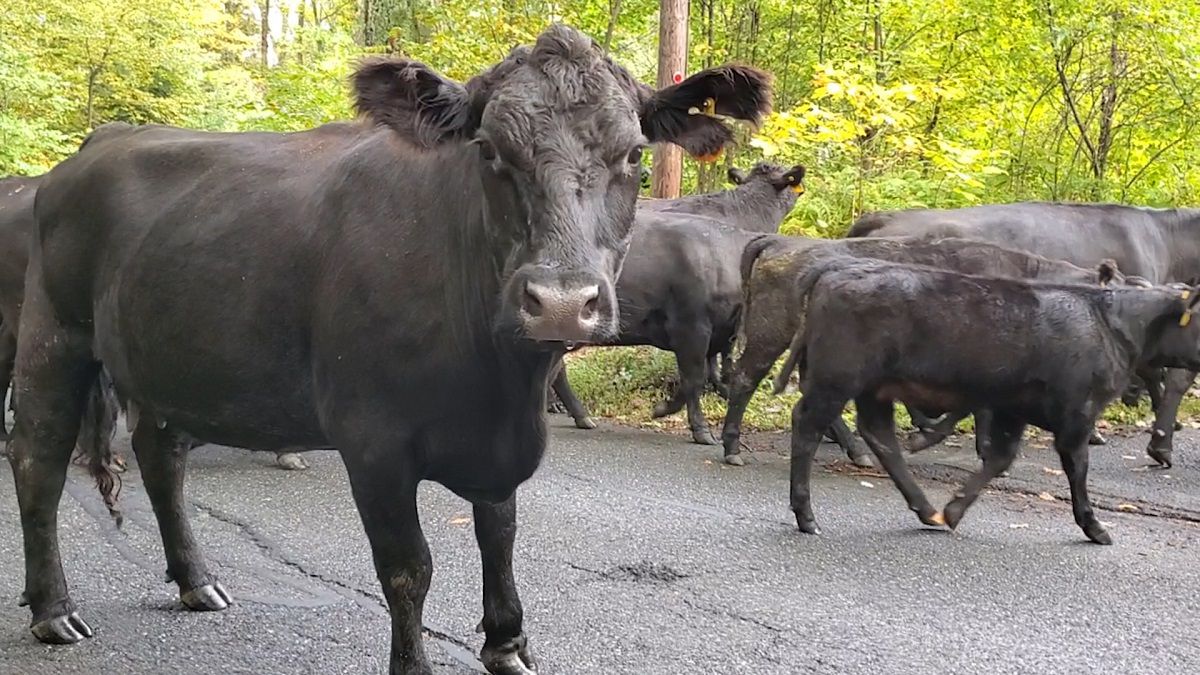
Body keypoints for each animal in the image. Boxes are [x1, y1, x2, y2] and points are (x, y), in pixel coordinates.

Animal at [7, 25, 771, 675]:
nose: (559, 300)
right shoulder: (373, 438)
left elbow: (500, 533)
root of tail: (99, 143)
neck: (500, 385)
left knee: (161, 459)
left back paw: (197, 581)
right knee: (37, 460)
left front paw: (508, 643)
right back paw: (53, 611)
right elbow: (409, 567)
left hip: (167, 356)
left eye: (634, 156)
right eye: (490, 151)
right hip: (52, 335)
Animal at [721, 234, 1146, 466]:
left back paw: (856, 451)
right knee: (744, 379)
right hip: (769, 336)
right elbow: (968, 410)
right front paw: (932, 439)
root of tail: (778, 241)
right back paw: (732, 447)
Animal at [771, 256, 1200, 544]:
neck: (1109, 322)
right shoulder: (1077, 413)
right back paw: (807, 517)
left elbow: (1000, 458)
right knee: (807, 426)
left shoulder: (1013, 408)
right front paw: (1095, 527)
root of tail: (837, 269)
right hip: (836, 379)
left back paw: (928, 511)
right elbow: (1077, 468)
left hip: (873, 388)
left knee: (880, 436)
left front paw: (953, 510)